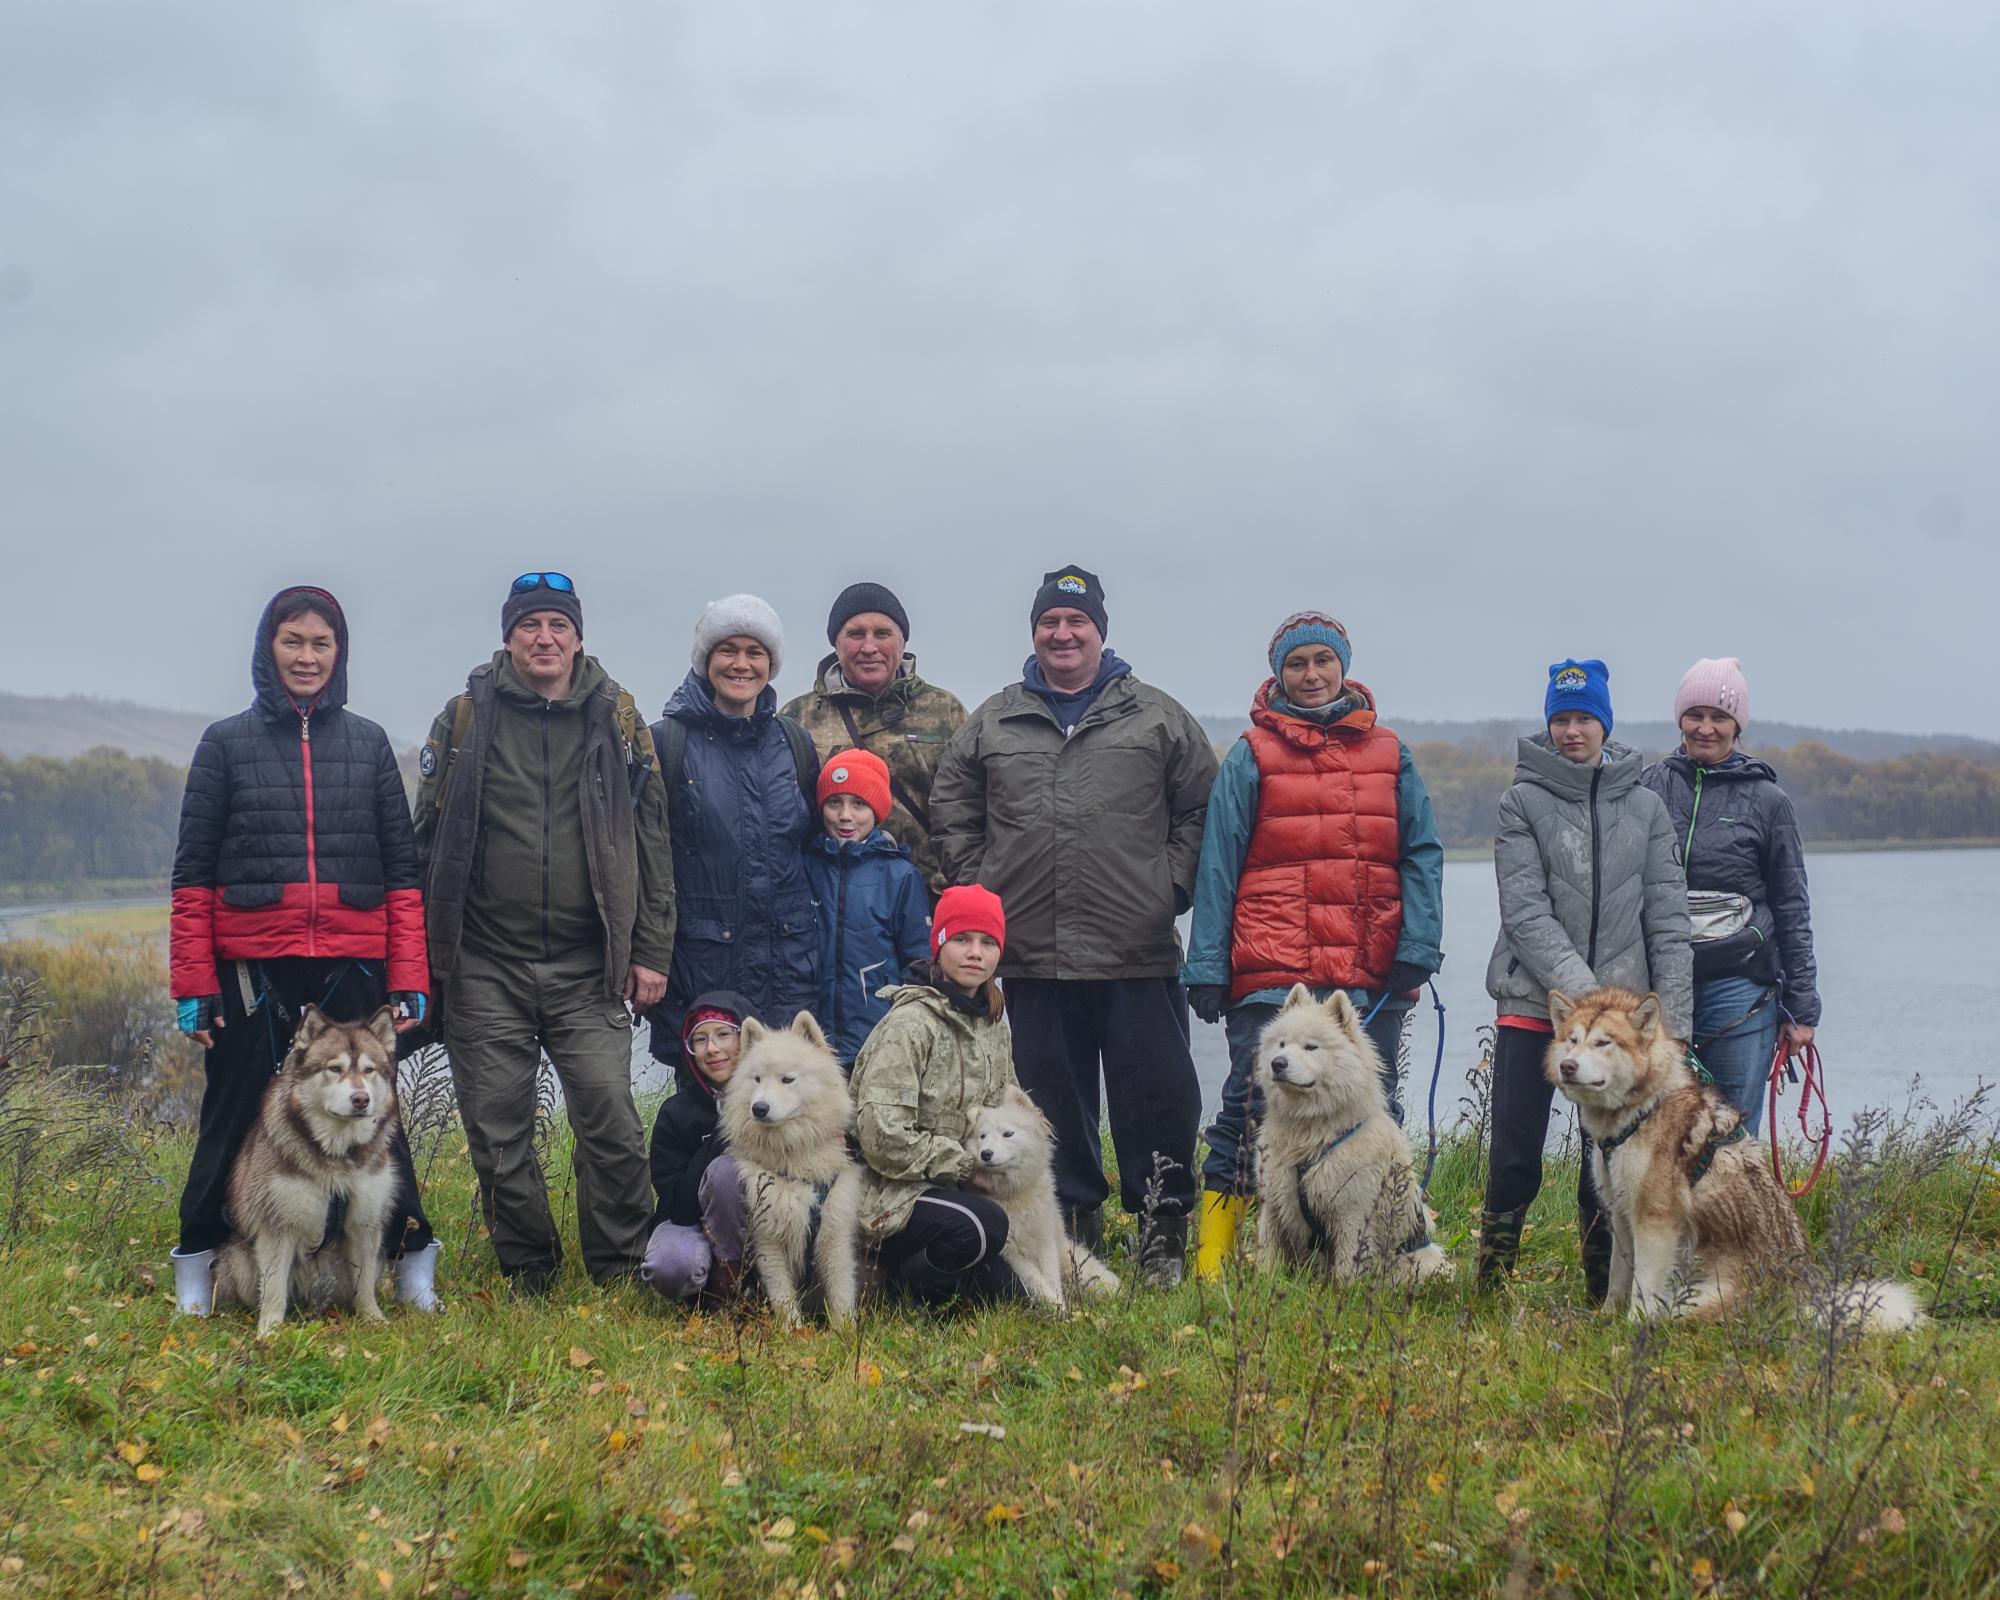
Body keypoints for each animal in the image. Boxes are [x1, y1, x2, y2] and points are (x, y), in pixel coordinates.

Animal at [214, 1012, 406, 1336]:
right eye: (334, 1068)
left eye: (369, 1070)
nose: (361, 1099)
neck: (337, 1155)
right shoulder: (278, 1226)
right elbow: (274, 1286)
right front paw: (269, 1331)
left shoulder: (365, 1223)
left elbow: (365, 1281)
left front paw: (372, 1318)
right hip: (238, 1258)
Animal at [728, 1020, 868, 1328]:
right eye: (757, 1079)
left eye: (787, 1079)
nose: (759, 1108)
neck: (793, 1160)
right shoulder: (767, 1236)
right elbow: (782, 1294)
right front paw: (792, 1331)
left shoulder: (834, 1230)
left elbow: (840, 1290)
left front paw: (844, 1332)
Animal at [1256, 988, 1448, 1288]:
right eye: (1281, 1044)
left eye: (1311, 1047)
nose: (1278, 1063)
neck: (1310, 1132)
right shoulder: (1274, 1196)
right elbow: (1268, 1249)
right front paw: (1263, 1282)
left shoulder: (1352, 1210)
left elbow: (1349, 1262)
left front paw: (1345, 1293)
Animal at [1544, 980, 1920, 1328]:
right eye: (1572, 1040)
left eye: (1603, 1043)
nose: (1568, 1066)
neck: (1641, 1110)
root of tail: (1800, 1298)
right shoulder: (1621, 1213)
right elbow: (1618, 1275)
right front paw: (1607, 1318)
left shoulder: (1655, 1220)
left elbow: (1643, 1286)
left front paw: (1633, 1327)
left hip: (1696, 1298)